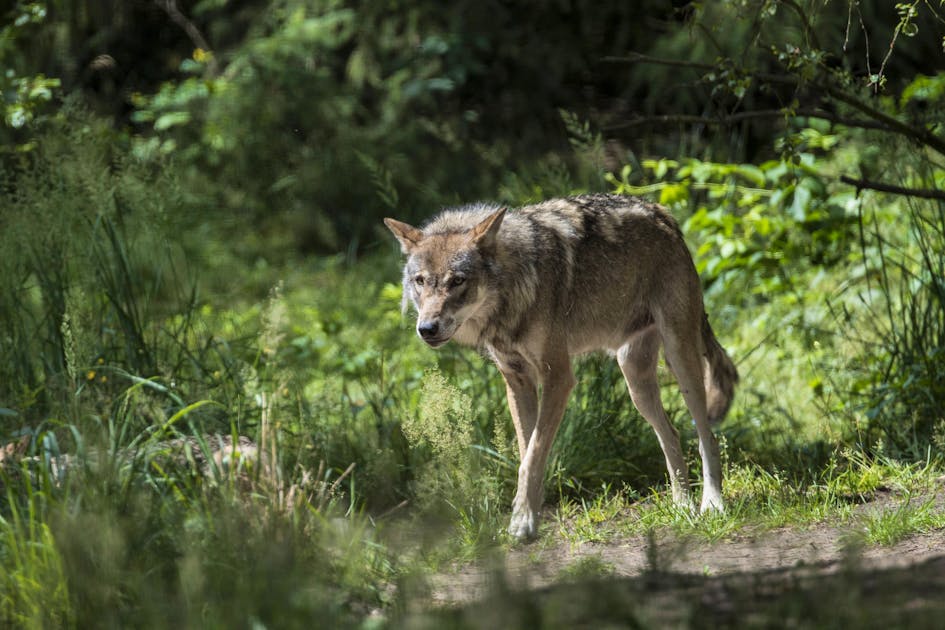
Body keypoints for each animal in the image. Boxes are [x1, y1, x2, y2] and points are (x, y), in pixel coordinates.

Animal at [384, 193, 738, 540]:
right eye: (420, 281)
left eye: (458, 281)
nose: (427, 328)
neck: (513, 287)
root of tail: (664, 215)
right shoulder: (517, 382)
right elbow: (528, 453)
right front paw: (529, 514)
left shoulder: (558, 378)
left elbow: (531, 457)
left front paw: (522, 522)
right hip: (635, 382)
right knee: (672, 435)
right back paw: (682, 505)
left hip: (681, 359)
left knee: (706, 437)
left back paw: (712, 504)